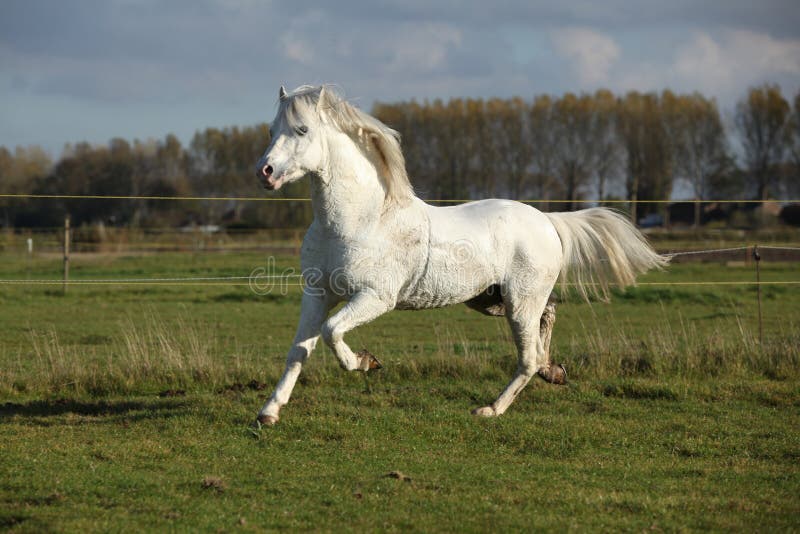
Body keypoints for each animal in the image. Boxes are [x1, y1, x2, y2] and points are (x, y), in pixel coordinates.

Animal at [253, 84, 667, 425]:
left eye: (302, 130)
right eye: (272, 131)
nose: (265, 172)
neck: (359, 219)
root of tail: (547, 221)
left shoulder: (375, 297)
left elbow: (331, 331)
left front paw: (366, 362)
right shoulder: (318, 294)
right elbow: (299, 350)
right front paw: (268, 413)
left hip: (519, 302)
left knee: (529, 356)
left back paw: (491, 409)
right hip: (494, 299)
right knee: (548, 319)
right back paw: (554, 371)